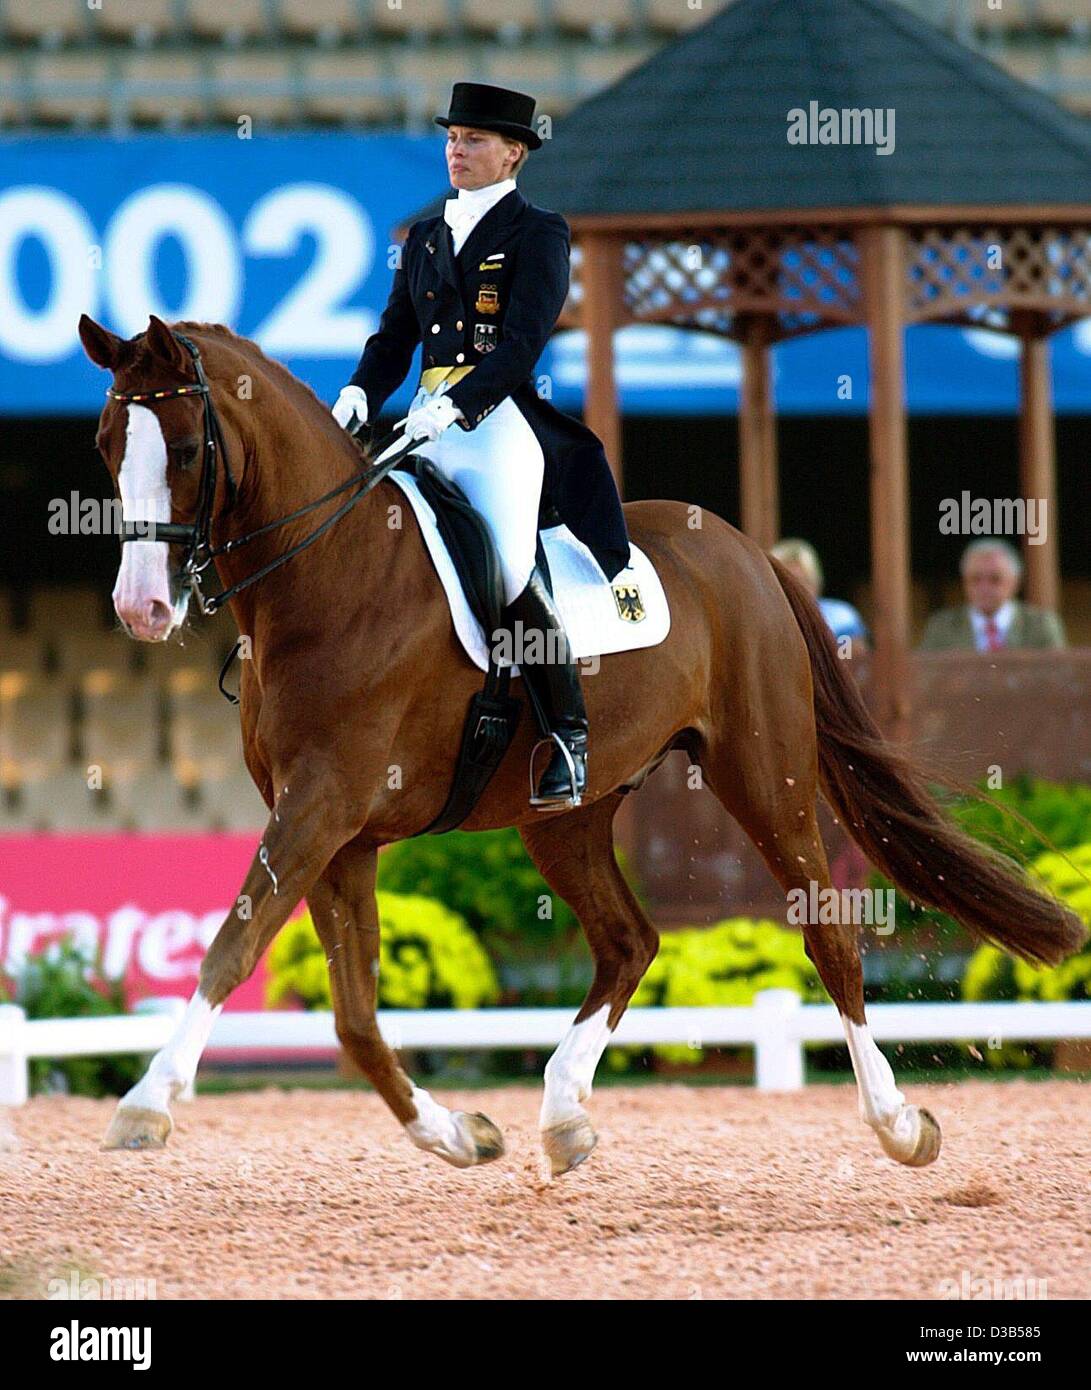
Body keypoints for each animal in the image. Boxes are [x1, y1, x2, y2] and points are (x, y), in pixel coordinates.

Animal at [78, 312, 1086, 1177]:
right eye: (106, 446)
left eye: (184, 449)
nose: (141, 608)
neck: (332, 575)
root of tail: (748, 551)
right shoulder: (339, 831)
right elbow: (355, 1015)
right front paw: (458, 1134)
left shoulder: (323, 807)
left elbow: (235, 946)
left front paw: (146, 1104)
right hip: (564, 816)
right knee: (629, 941)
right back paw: (562, 1114)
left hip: (765, 774)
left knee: (824, 934)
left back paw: (899, 1123)